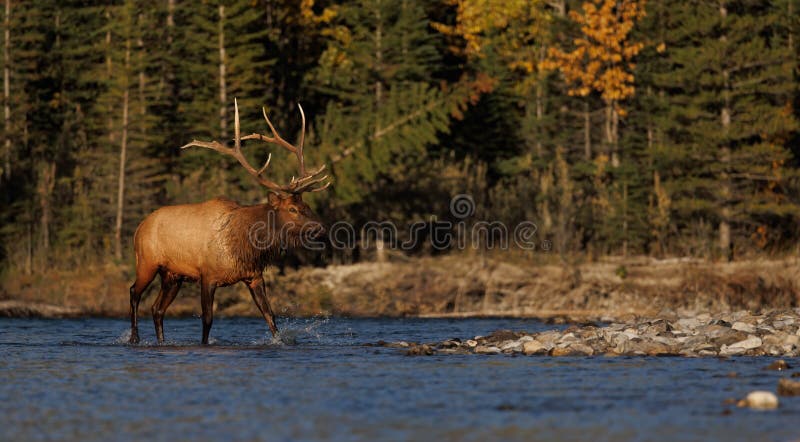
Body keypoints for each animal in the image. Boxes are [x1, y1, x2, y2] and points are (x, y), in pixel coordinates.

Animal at [128, 99, 330, 345]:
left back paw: (162, 342)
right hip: (147, 262)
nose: (320, 228)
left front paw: (280, 340)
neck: (245, 244)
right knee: (134, 293)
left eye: (307, 206)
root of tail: (139, 227)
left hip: (173, 276)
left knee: (157, 309)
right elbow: (207, 319)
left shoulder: (254, 276)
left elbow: (270, 316)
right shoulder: (207, 276)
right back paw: (134, 337)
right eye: (292, 209)